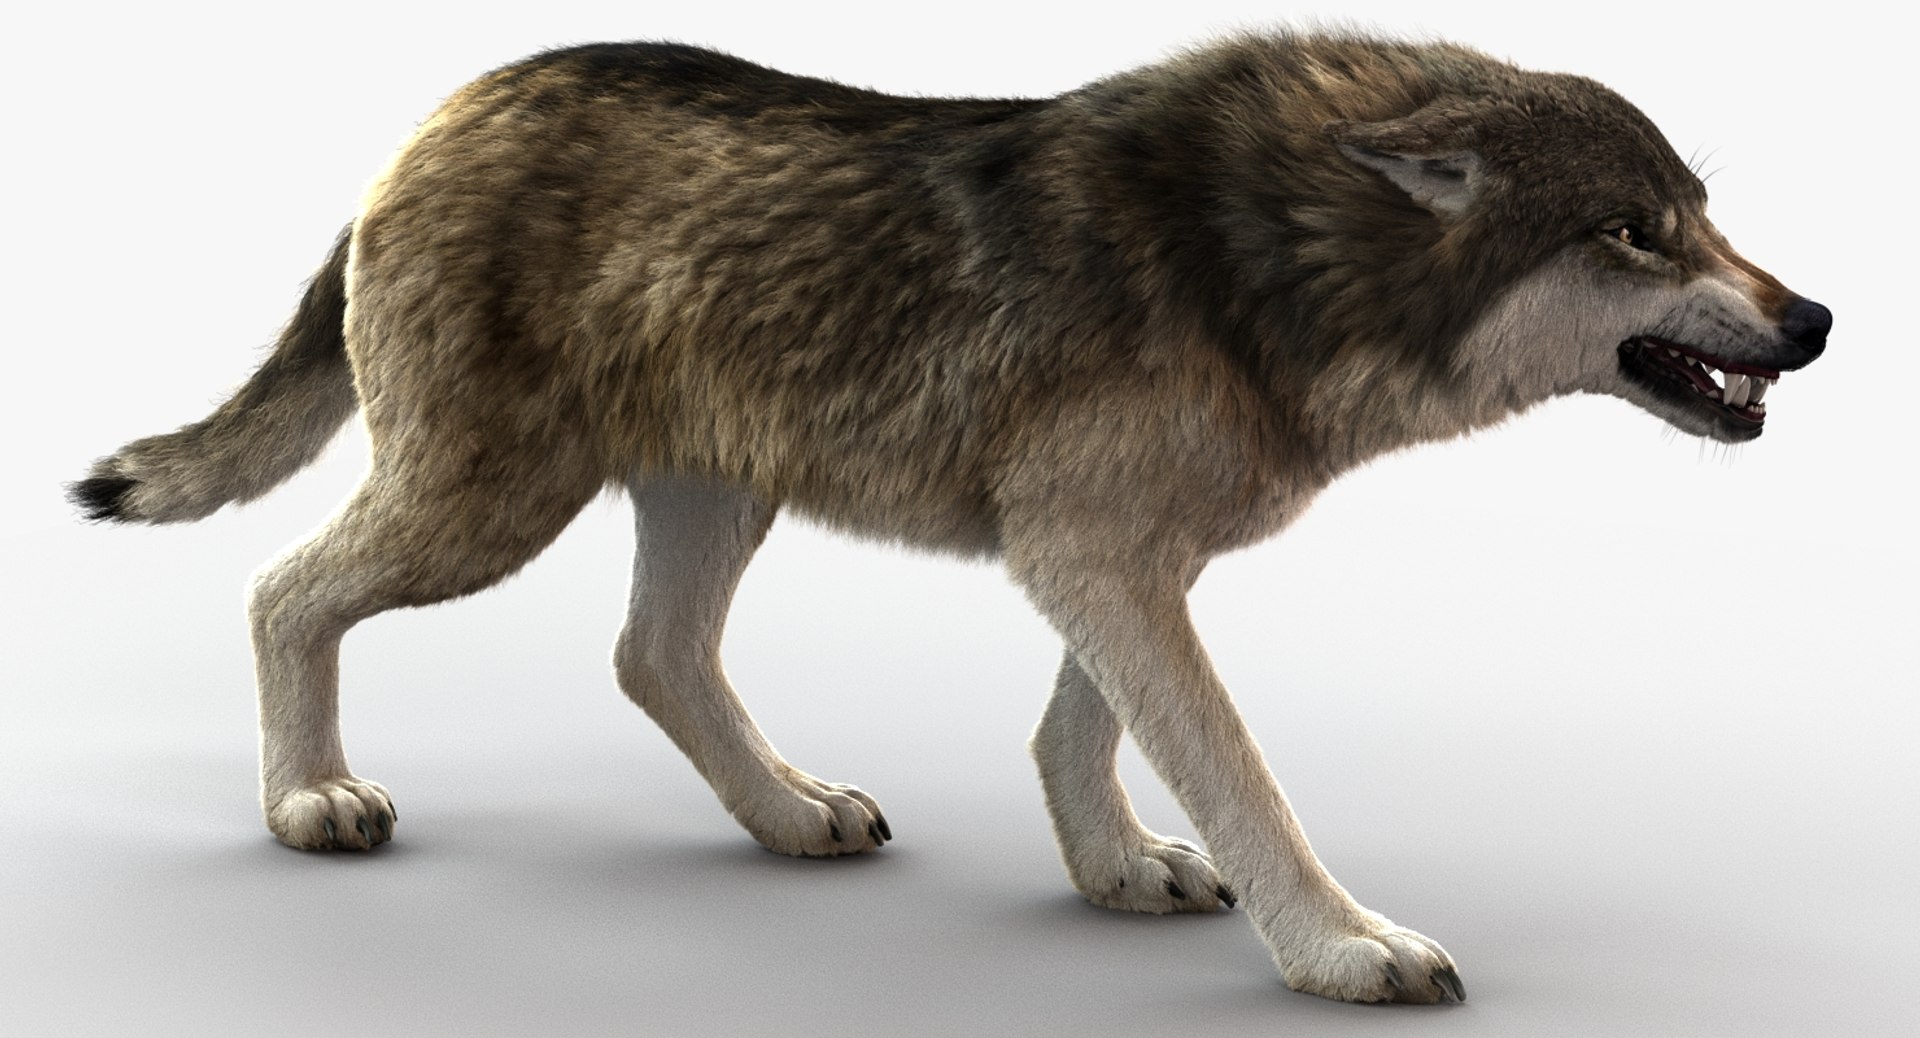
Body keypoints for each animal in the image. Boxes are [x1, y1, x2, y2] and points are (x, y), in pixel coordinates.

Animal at [69, 31, 1827, 1004]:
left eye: (1705, 216)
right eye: (1630, 231)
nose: (1813, 320)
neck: (1277, 262)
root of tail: (423, 124)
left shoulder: (1111, 551)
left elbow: (1089, 730)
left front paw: (1116, 868)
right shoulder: (1096, 551)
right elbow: (1235, 767)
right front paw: (1340, 948)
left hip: (714, 490)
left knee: (653, 658)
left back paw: (789, 814)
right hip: (488, 505)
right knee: (281, 589)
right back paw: (311, 800)